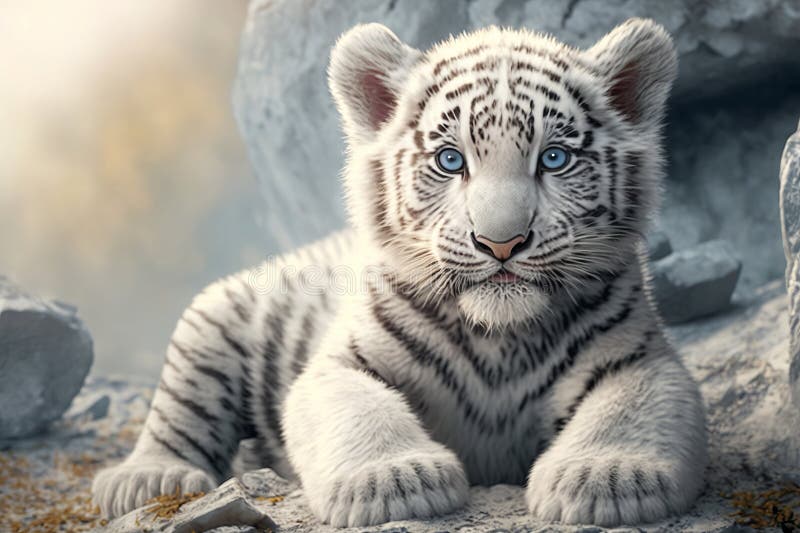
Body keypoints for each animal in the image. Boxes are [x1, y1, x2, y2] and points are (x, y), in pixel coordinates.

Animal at [92, 18, 708, 528]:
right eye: (450, 160)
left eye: (553, 158)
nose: (501, 242)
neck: (500, 340)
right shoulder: (339, 363)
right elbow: (358, 406)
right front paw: (393, 479)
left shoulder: (638, 353)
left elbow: (631, 404)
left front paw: (608, 476)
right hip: (215, 316)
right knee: (179, 411)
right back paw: (149, 479)